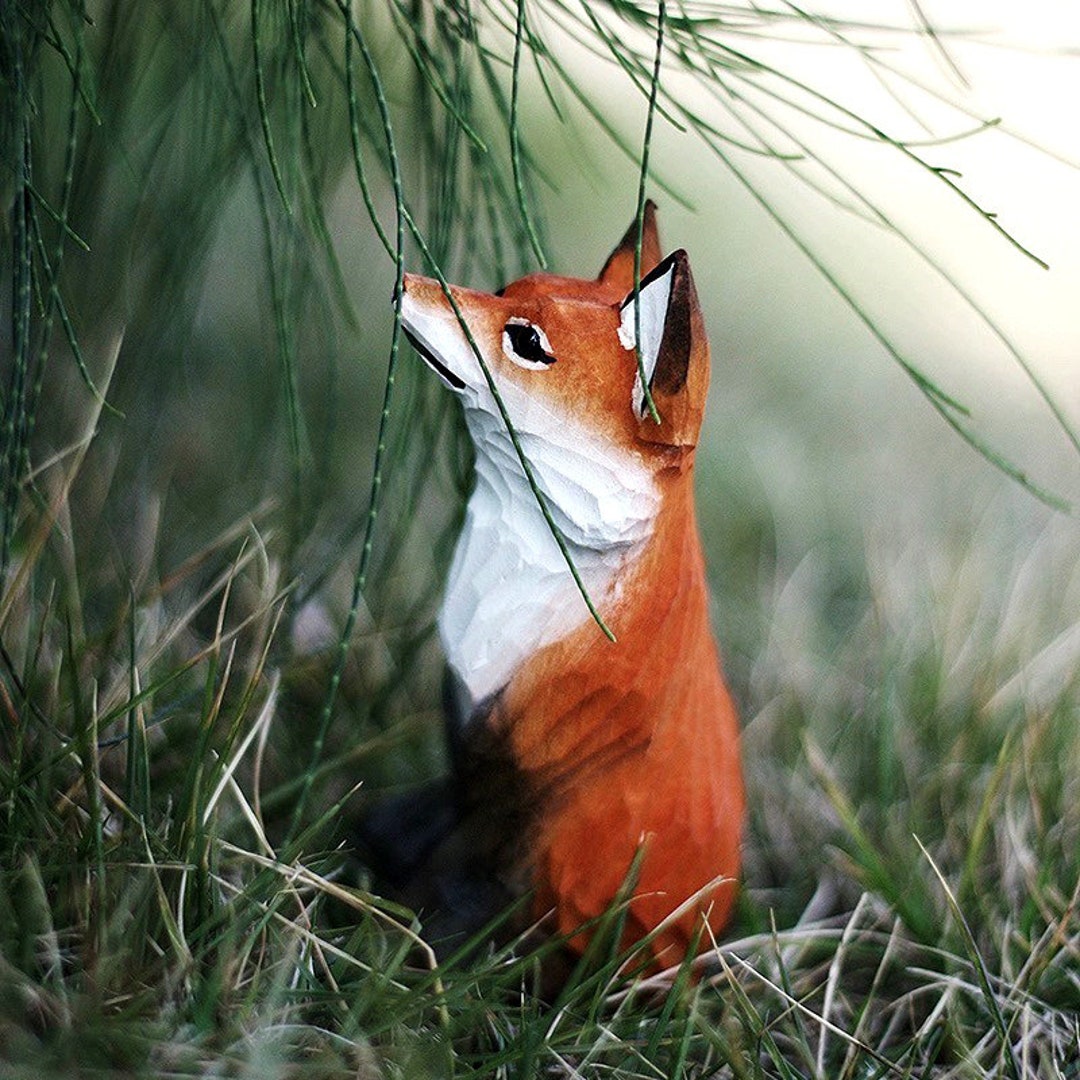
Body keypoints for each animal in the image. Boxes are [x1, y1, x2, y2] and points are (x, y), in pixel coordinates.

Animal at [368, 202, 743, 972]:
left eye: (526, 342)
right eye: (505, 288)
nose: (404, 279)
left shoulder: (536, 780)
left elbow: (479, 875)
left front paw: (438, 944)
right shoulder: (467, 726)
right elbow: (444, 815)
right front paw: (389, 853)